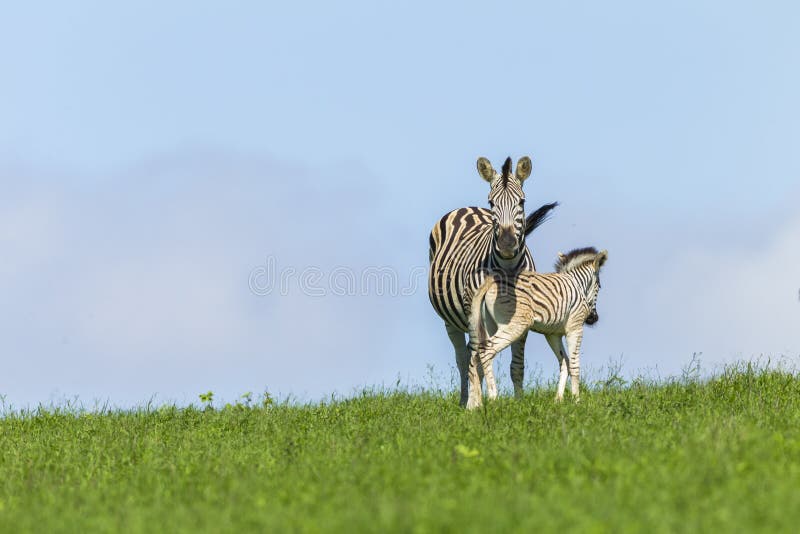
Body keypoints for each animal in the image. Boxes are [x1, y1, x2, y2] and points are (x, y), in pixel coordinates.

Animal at [428, 156, 558, 407]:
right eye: (492, 203)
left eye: (522, 202)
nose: (507, 244)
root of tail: (467, 208)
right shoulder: (477, 314)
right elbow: (477, 359)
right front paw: (477, 403)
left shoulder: (522, 318)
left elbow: (517, 366)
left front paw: (518, 403)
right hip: (453, 320)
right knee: (464, 358)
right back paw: (465, 401)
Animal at [466, 247, 608, 409]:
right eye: (599, 286)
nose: (593, 318)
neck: (577, 285)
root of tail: (490, 281)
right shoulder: (575, 327)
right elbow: (574, 365)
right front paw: (577, 401)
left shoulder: (553, 334)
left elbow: (564, 362)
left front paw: (558, 400)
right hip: (515, 325)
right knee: (486, 350)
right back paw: (493, 398)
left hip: (488, 325)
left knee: (475, 356)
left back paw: (475, 405)